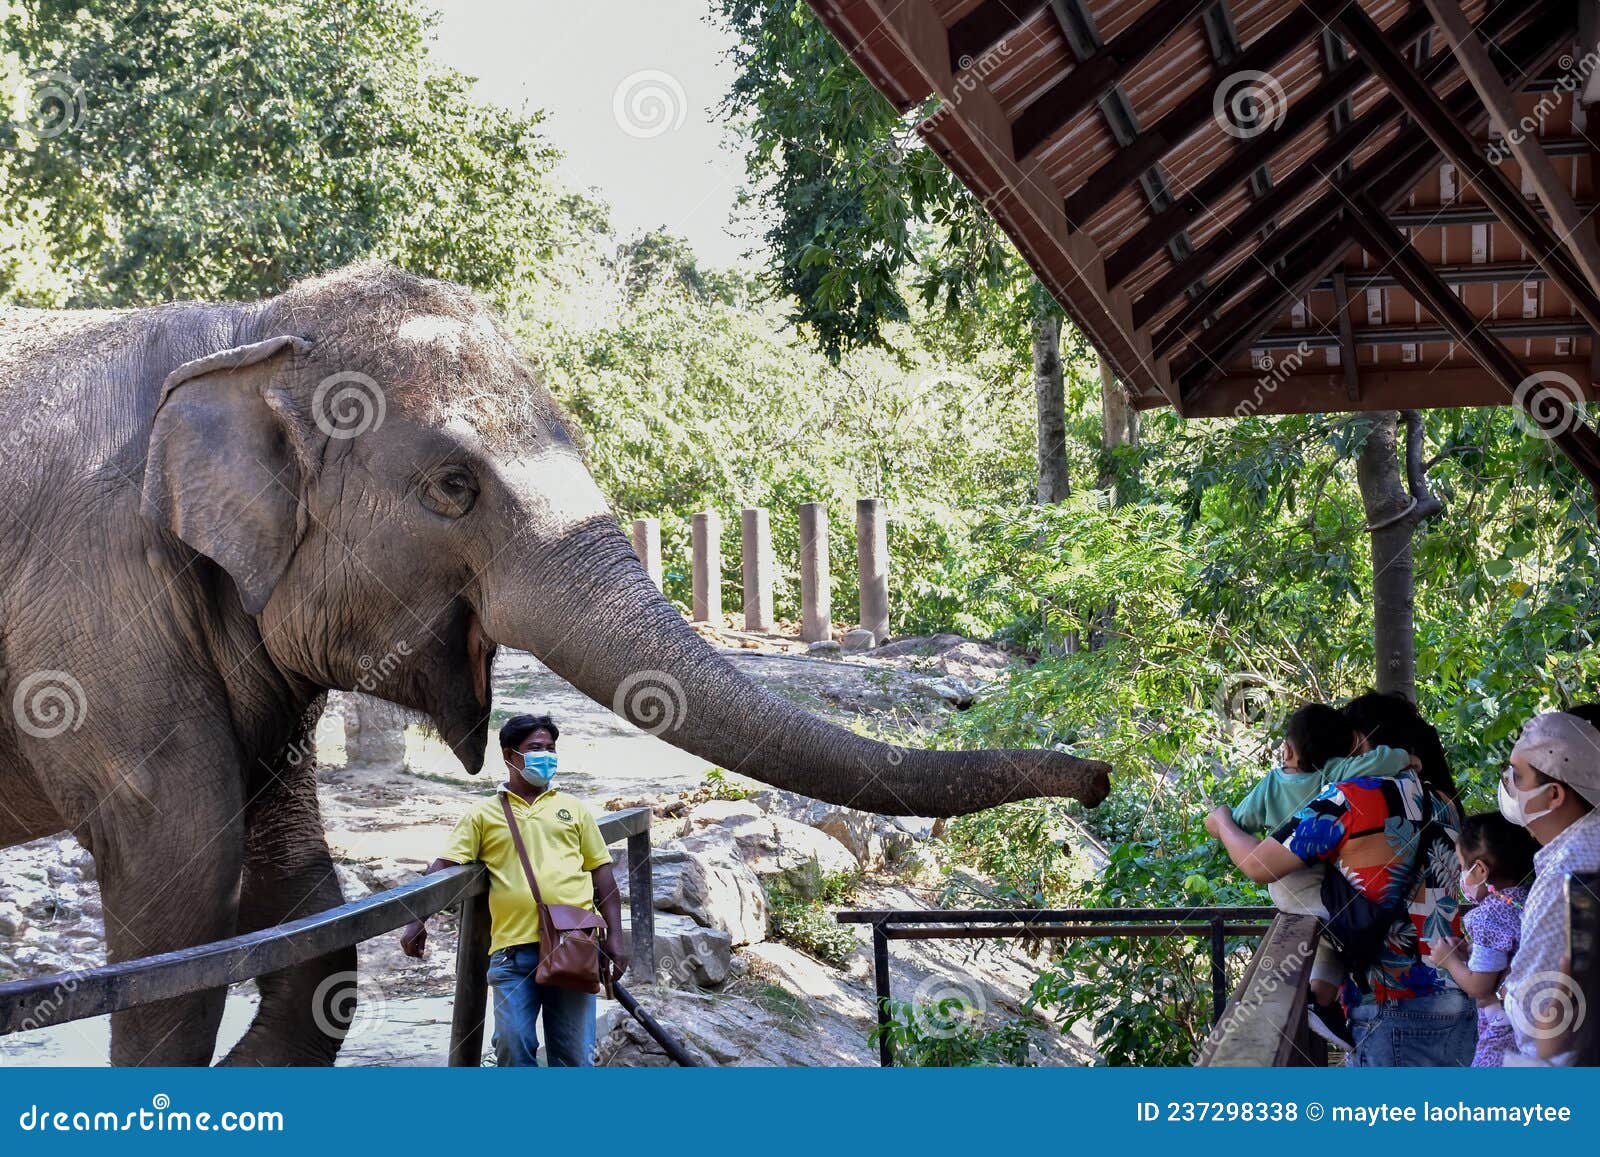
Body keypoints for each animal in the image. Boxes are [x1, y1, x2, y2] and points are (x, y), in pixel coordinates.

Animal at [0, 263, 1111, 1065]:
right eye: (452, 486)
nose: (1099, 778)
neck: (245, 327)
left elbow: (305, 900)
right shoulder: (95, 607)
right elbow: (183, 889)